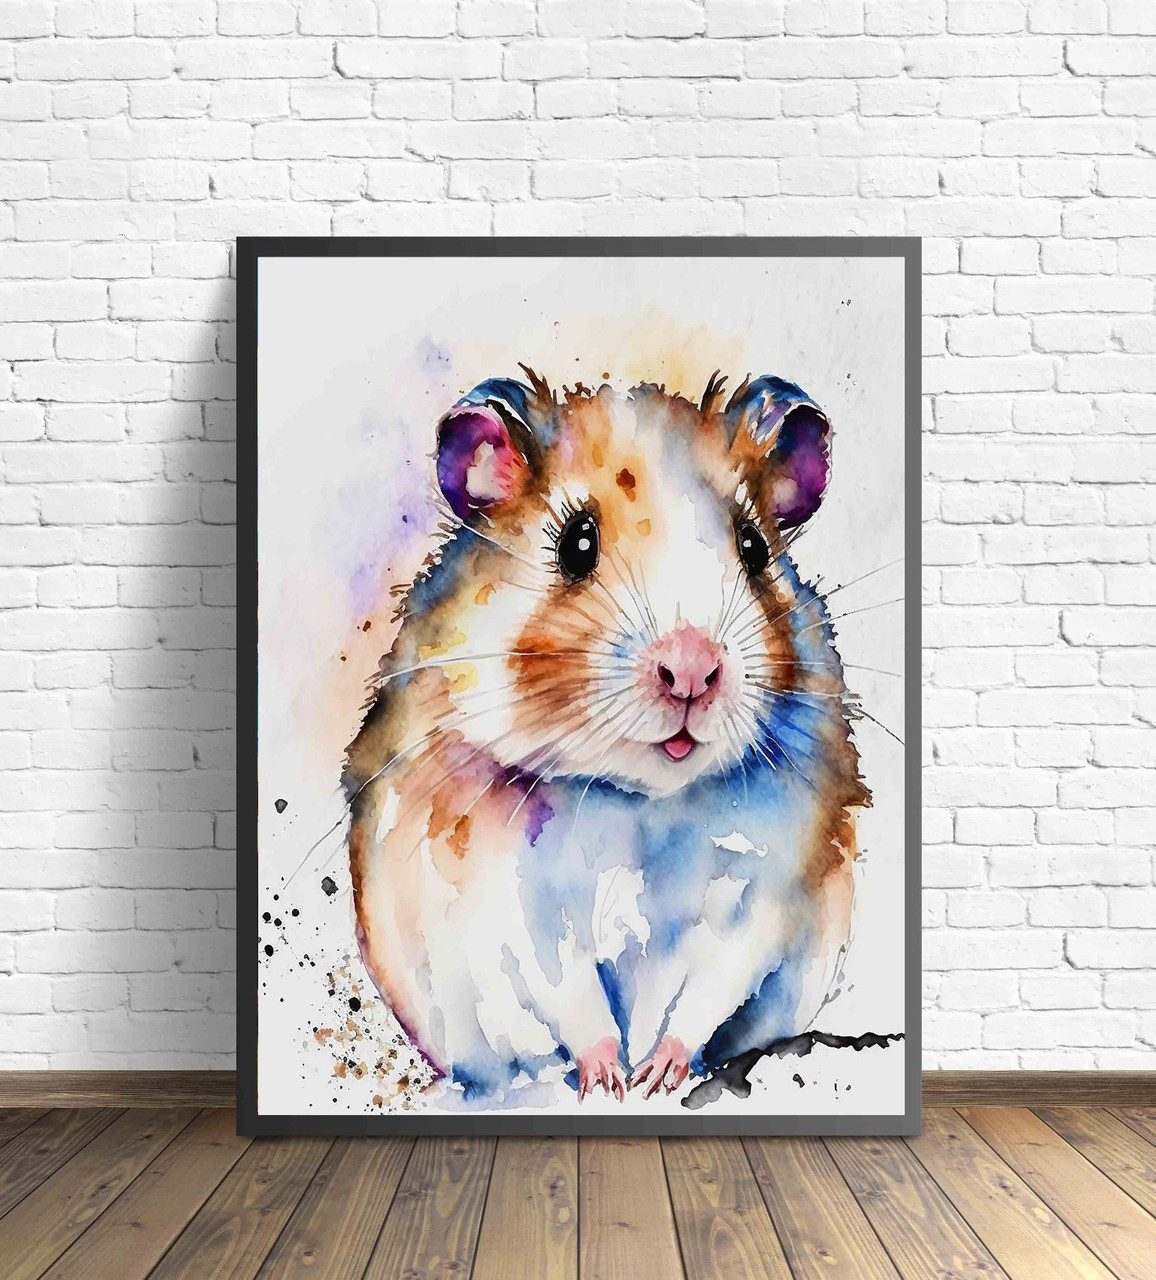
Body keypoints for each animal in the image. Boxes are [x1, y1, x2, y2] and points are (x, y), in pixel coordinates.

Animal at [343, 368, 870, 1107]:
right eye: (577, 543)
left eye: (754, 547)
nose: (692, 670)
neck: (637, 801)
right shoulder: (507, 902)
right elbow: (570, 993)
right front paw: (608, 1080)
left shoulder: (765, 896)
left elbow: (709, 990)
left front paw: (656, 1074)